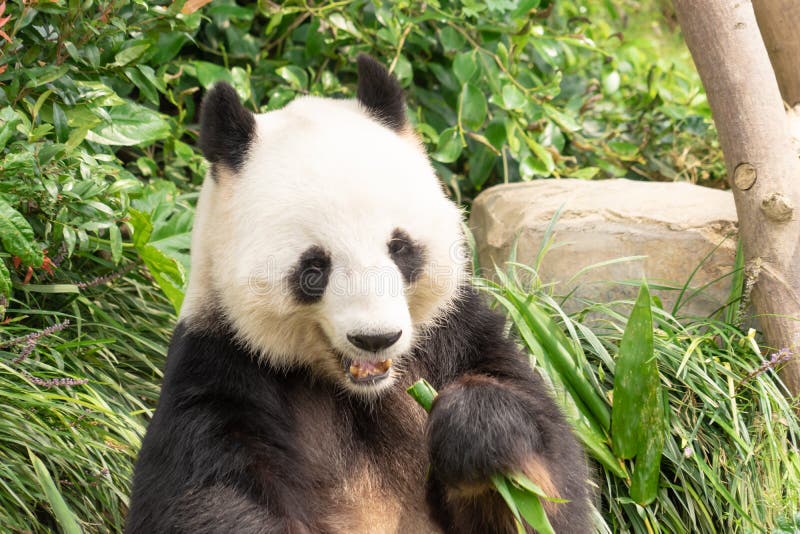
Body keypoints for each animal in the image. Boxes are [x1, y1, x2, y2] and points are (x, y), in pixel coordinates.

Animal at [126, 55, 590, 533]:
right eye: (314, 268)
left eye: (400, 248)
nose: (375, 338)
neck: (354, 391)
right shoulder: (221, 373)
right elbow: (210, 499)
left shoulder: (456, 338)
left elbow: (555, 484)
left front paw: (475, 427)